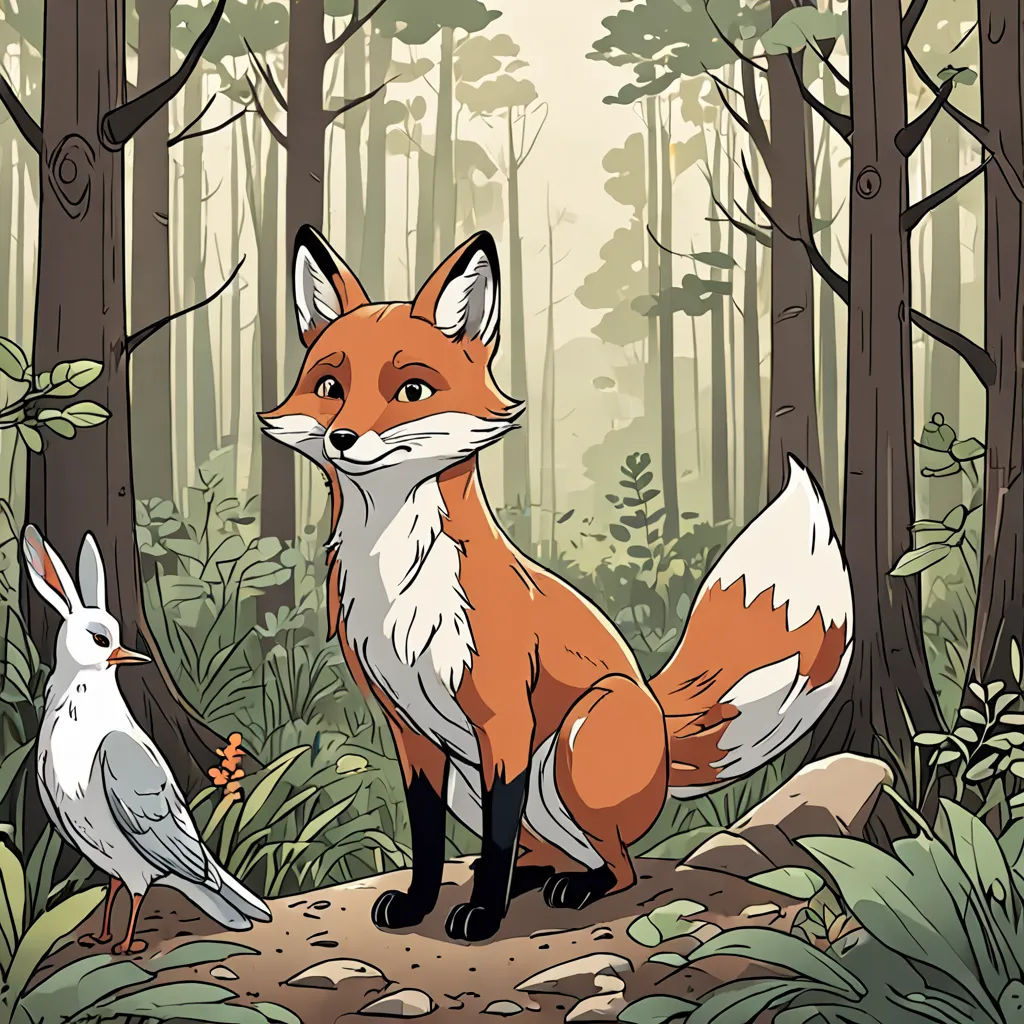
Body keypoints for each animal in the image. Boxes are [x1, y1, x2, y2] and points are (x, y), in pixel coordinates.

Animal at [261, 225, 854, 943]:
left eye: (411, 392)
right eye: (329, 386)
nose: (343, 438)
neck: (397, 581)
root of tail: (661, 727)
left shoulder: (504, 722)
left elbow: (496, 839)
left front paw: (483, 916)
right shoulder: (410, 732)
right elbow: (427, 839)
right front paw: (419, 904)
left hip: (576, 742)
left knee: (620, 865)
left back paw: (571, 888)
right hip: (478, 778)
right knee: (552, 848)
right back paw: (536, 877)